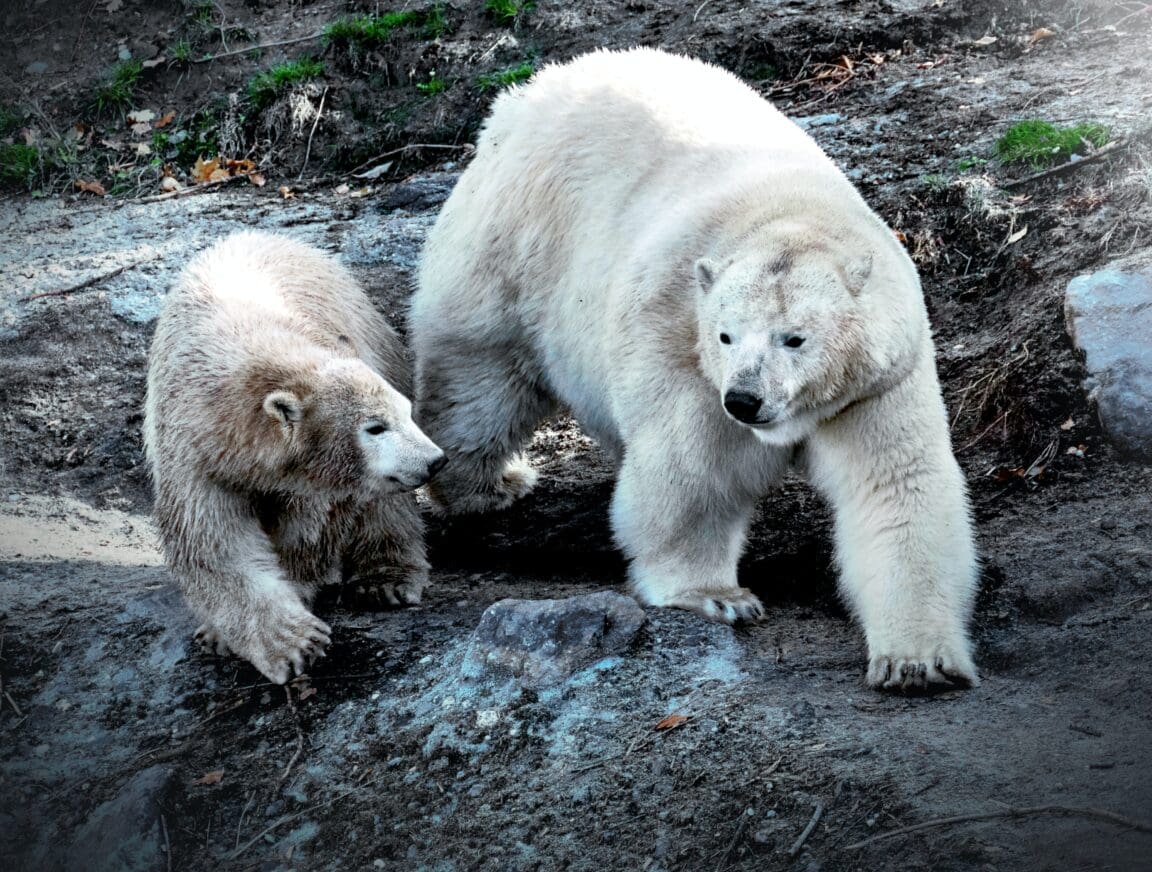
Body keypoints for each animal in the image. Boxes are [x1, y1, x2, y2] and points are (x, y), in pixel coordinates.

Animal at [144, 230, 446, 684]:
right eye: (375, 427)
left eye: (405, 413)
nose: (433, 460)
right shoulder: (193, 453)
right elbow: (215, 546)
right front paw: (274, 641)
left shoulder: (315, 478)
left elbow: (309, 528)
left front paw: (298, 615)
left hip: (374, 343)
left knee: (382, 505)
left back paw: (386, 580)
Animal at [409, 48, 979, 691]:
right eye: (726, 334)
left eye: (795, 338)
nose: (746, 400)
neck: (787, 213)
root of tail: (527, 93)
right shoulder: (682, 342)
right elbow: (694, 468)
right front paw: (718, 596)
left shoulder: (876, 380)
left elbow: (897, 487)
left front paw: (918, 663)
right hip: (515, 243)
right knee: (480, 376)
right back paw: (486, 485)